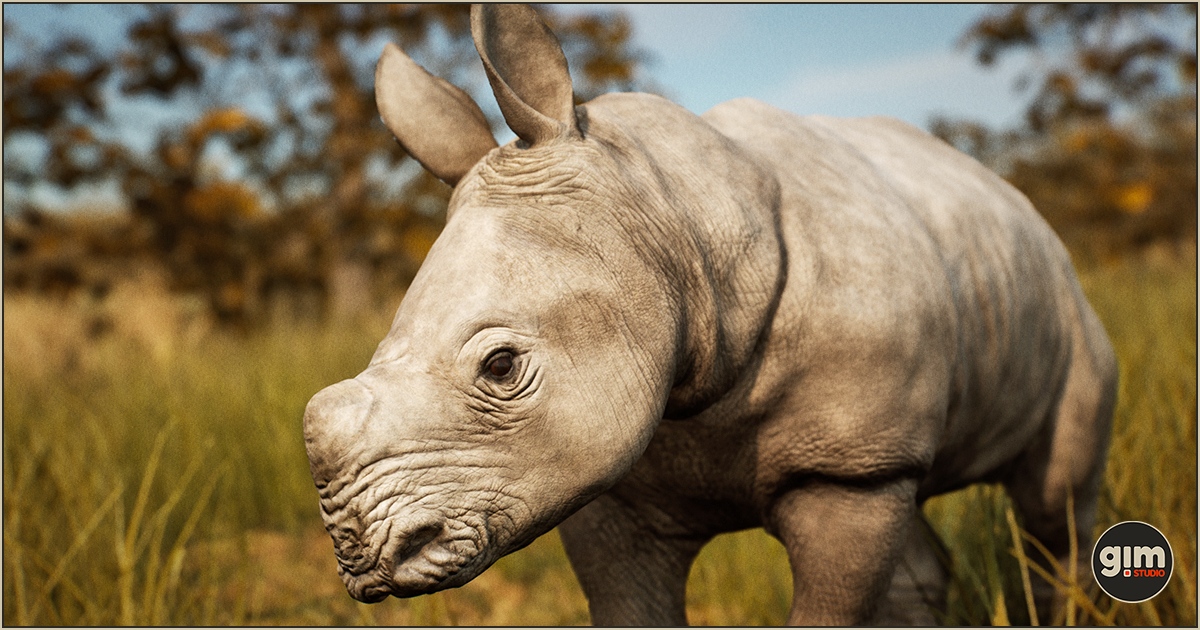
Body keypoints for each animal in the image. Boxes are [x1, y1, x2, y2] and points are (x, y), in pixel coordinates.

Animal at [303, 5, 1117, 625]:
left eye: (501, 367)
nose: (365, 559)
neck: (671, 213)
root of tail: (1012, 197)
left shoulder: (847, 468)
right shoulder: (611, 480)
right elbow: (630, 607)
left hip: (1061, 301)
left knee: (1055, 505)